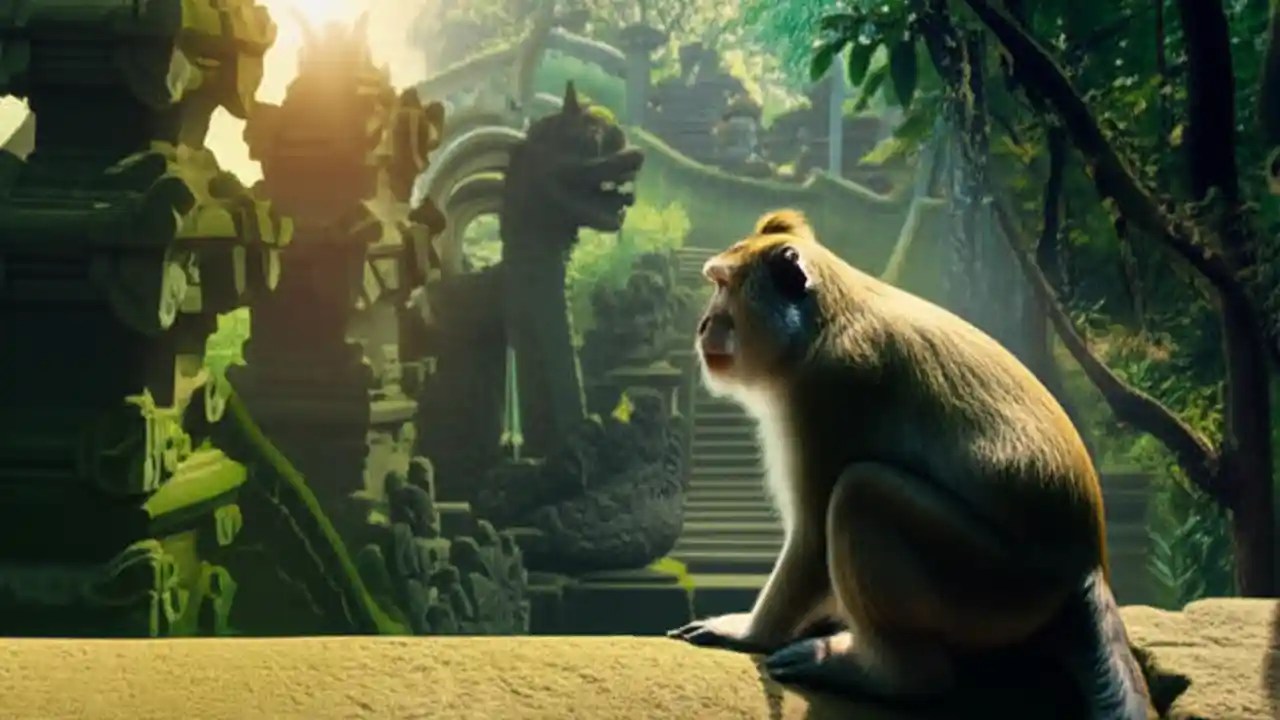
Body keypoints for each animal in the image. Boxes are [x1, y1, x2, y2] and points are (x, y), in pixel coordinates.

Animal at [668, 209, 1153, 719]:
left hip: (997, 583)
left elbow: (813, 538)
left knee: (861, 493)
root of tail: (1088, 563)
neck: (820, 326)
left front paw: (749, 633)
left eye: (724, 285)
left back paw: (886, 675)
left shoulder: (829, 391)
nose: (704, 324)